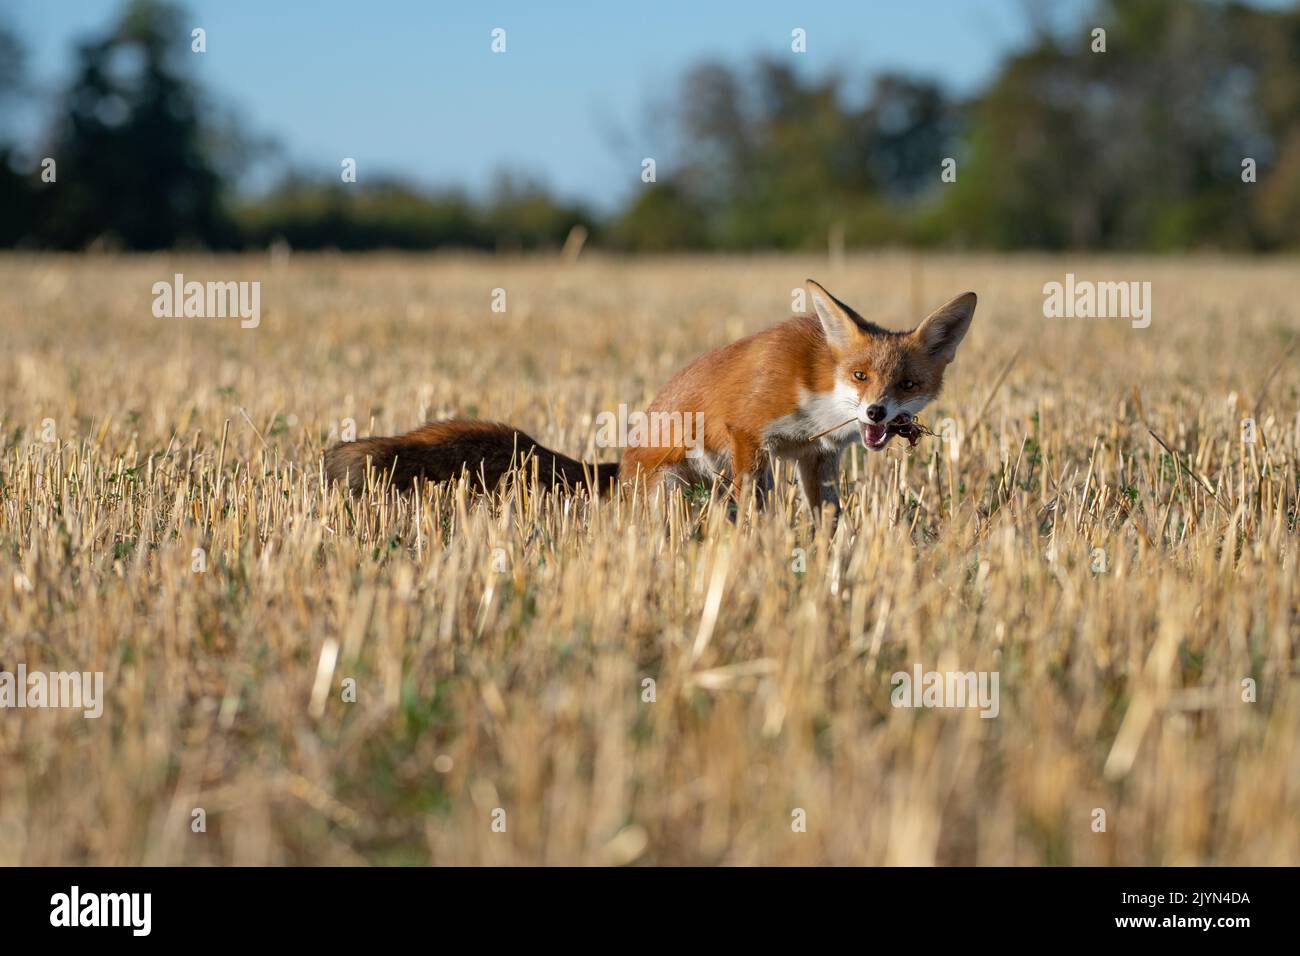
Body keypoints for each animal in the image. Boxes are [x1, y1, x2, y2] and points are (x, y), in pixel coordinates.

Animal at [323, 280, 976, 516]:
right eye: (861, 376)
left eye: (907, 385)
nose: (876, 414)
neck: (816, 387)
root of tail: (617, 470)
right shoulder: (747, 433)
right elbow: (759, 506)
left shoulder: (817, 456)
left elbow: (826, 516)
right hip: (672, 483)